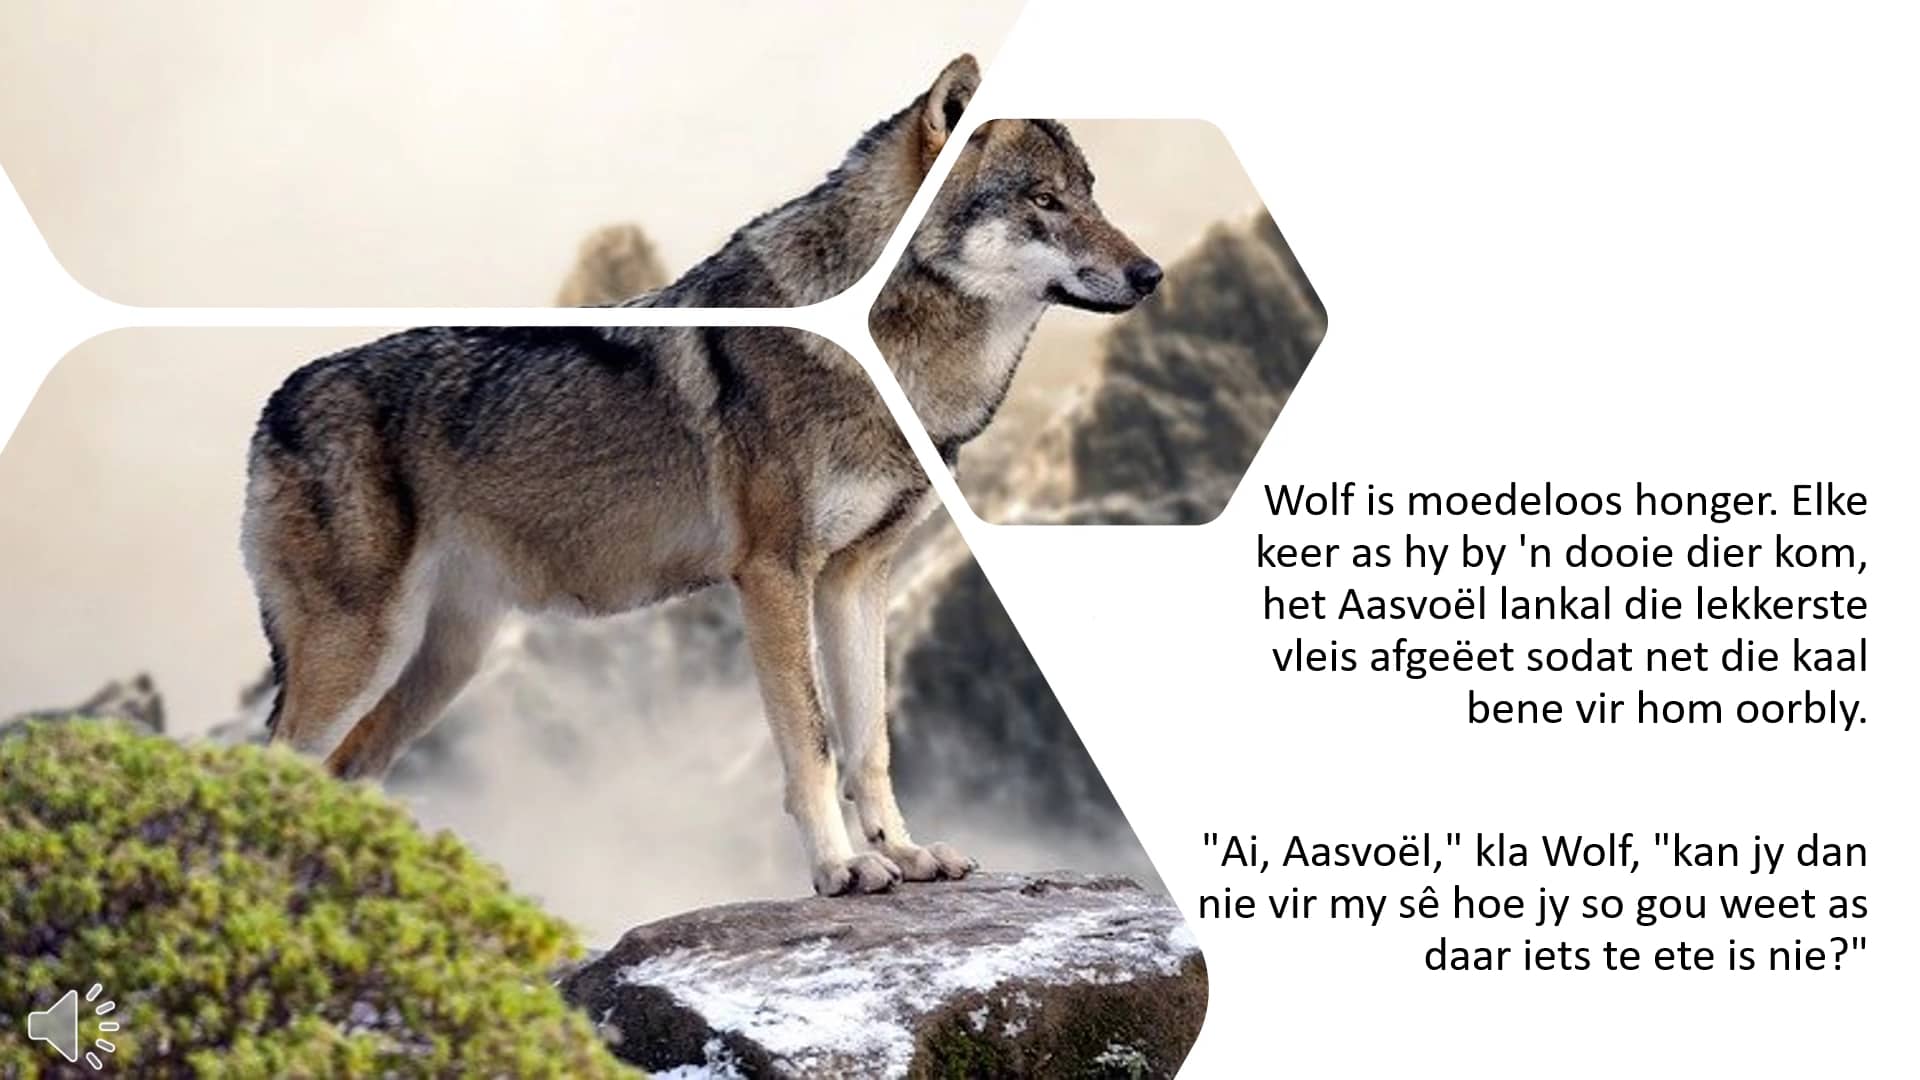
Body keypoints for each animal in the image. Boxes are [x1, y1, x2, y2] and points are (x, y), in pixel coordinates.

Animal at [244, 55, 1159, 896]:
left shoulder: (857, 577)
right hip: (364, 651)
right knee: (265, 769)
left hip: (441, 664)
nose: (1151, 274)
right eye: (1043, 201)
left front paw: (903, 853)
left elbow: (871, 741)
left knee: (345, 774)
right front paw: (840, 869)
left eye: (1090, 193)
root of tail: (274, 404)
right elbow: (814, 741)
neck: (889, 355)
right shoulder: (775, 574)